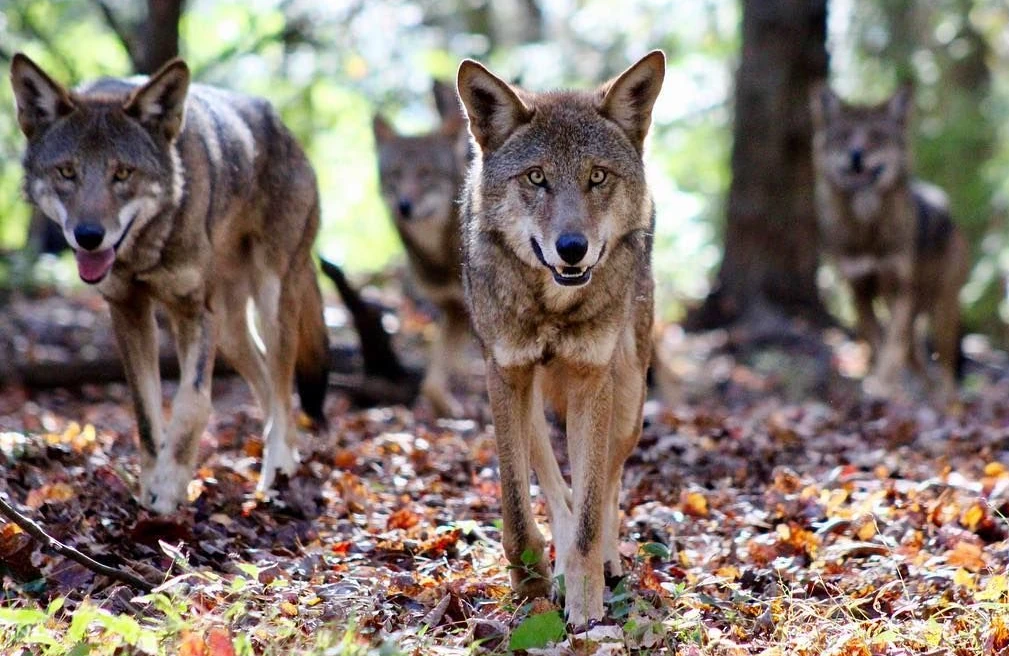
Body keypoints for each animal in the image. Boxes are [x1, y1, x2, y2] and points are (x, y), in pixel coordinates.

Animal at [11, 54, 330, 514]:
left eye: (123, 173)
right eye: (67, 172)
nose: (88, 236)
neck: (145, 250)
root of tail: (282, 126)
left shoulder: (193, 311)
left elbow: (193, 402)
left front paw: (170, 488)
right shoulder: (128, 311)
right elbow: (146, 412)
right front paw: (150, 486)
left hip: (270, 304)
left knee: (285, 394)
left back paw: (275, 475)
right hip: (231, 332)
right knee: (268, 386)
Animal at [373, 81, 470, 417]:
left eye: (426, 173)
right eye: (396, 175)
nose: (404, 207)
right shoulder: (455, 310)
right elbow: (431, 382)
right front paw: (447, 409)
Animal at [456, 51, 665, 625]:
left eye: (597, 177)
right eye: (536, 178)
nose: (573, 248)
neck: (551, 307)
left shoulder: (592, 379)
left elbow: (593, 508)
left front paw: (585, 602)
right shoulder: (504, 374)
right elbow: (516, 503)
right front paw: (530, 584)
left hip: (628, 397)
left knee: (609, 479)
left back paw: (606, 562)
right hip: (528, 396)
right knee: (553, 480)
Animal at [811, 83, 969, 397]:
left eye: (876, 136)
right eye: (843, 136)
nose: (856, 155)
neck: (867, 229)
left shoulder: (901, 289)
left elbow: (893, 343)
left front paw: (884, 387)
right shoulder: (859, 288)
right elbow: (877, 340)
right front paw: (886, 388)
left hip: (943, 308)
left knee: (944, 363)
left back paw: (947, 398)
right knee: (915, 355)